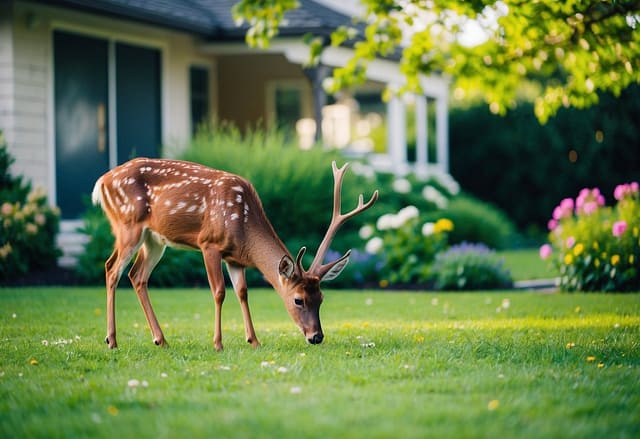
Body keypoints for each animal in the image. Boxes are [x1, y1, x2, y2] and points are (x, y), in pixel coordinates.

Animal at [91, 158, 378, 351]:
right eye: (298, 300)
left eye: (321, 298)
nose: (316, 337)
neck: (243, 228)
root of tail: (101, 182)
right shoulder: (209, 244)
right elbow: (219, 292)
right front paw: (218, 344)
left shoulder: (235, 258)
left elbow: (242, 292)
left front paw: (254, 340)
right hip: (128, 224)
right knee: (111, 269)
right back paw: (112, 340)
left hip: (154, 240)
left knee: (136, 275)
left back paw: (160, 339)